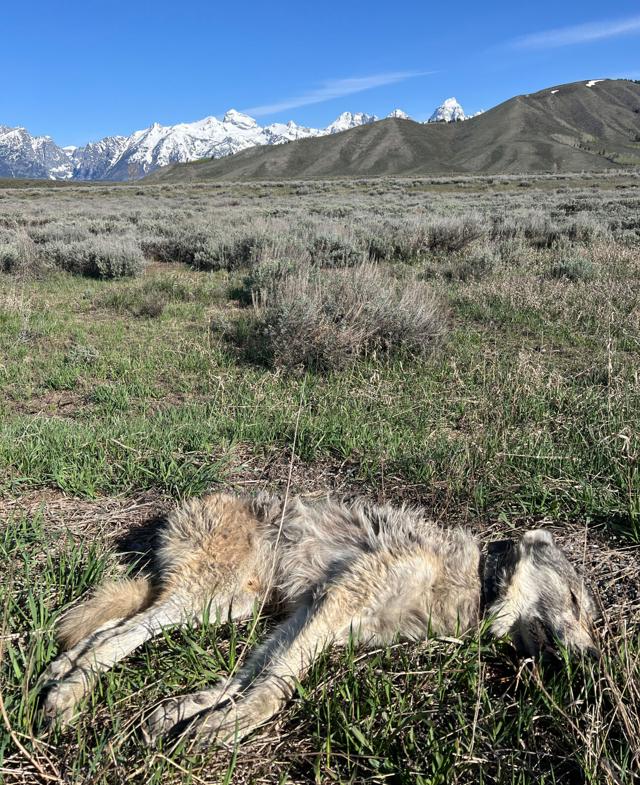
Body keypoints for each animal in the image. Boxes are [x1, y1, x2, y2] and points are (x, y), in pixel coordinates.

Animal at [39, 492, 598, 749]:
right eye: (575, 602)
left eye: (588, 617)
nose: (593, 657)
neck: (471, 584)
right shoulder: (336, 600)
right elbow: (274, 689)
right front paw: (225, 727)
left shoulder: (311, 615)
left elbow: (244, 677)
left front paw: (189, 711)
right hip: (205, 597)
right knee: (125, 633)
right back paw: (66, 697)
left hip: (225, 607)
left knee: (112, 627)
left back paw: (57, 672)